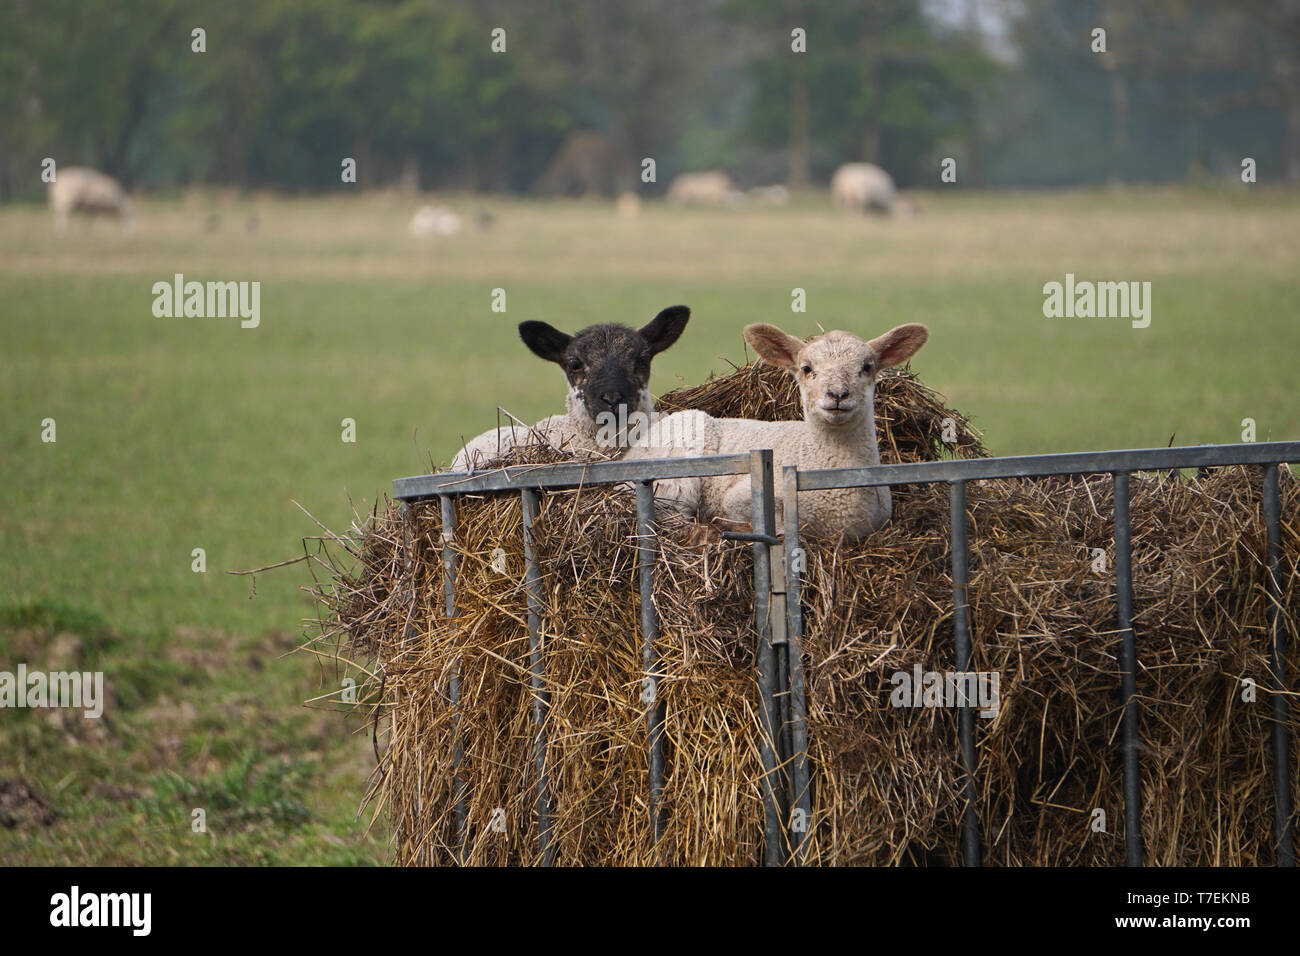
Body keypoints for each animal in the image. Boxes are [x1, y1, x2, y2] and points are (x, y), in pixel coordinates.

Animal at [627, 322, 928, 542]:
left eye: (866, 367)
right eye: (806, 368)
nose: (837, 395)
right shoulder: (739, 498)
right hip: (676, 479)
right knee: (672, 519)